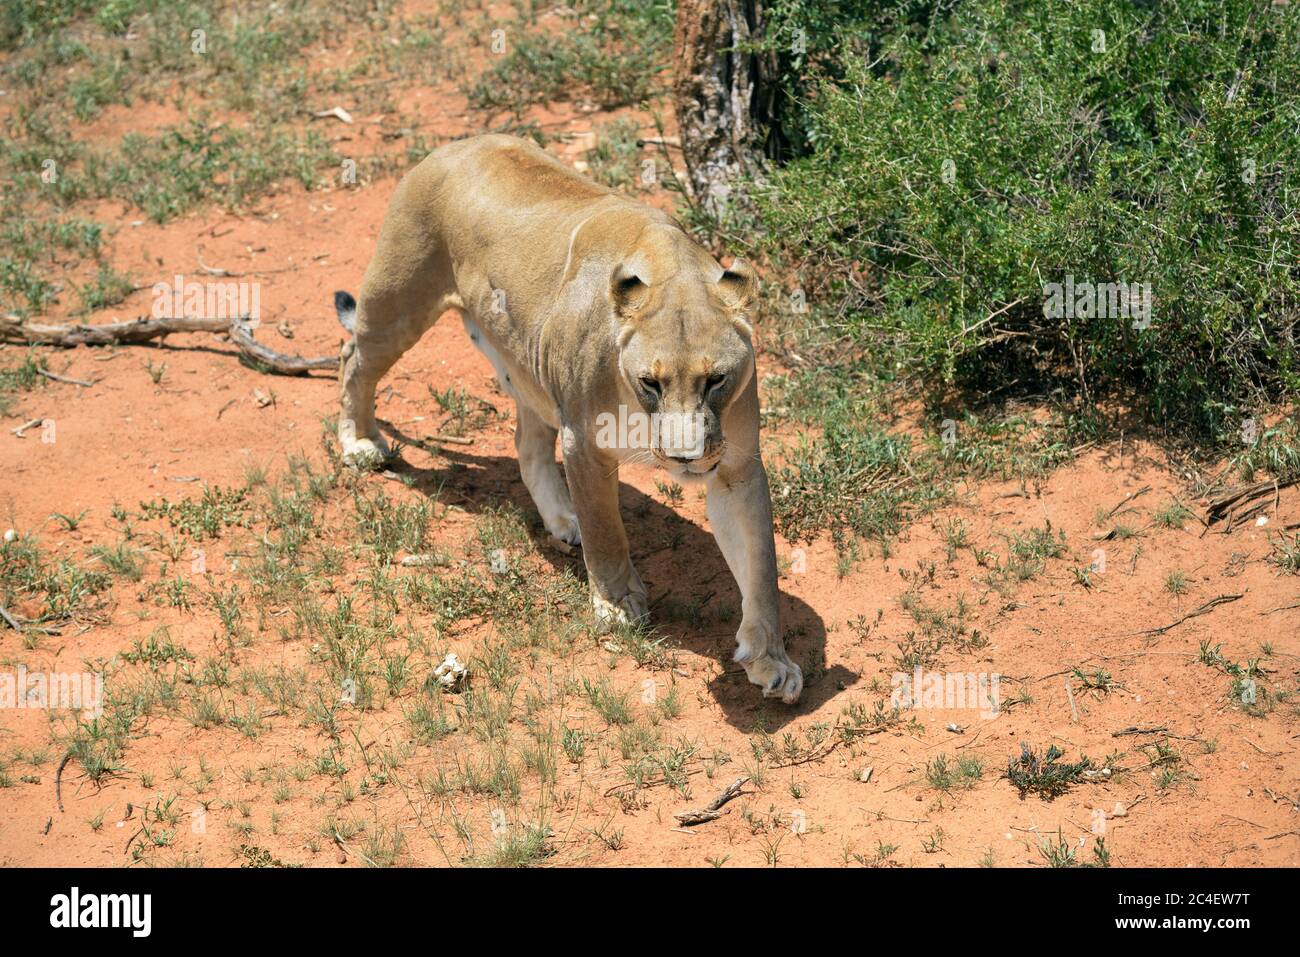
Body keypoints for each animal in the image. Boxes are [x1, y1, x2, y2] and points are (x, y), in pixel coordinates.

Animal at [333, 134, 802, 704]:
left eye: (715, 380)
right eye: (651, 382)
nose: (685, 457)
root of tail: (456, 144)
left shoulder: (736, 467)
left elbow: (761, 567)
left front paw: (771, 659)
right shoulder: (586, 444)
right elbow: (607, 532)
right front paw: (617, 605)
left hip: (528, 367)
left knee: (526, 445)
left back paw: (561, 518)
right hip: (399, 301)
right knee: (354, 359)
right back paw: (359, 441)